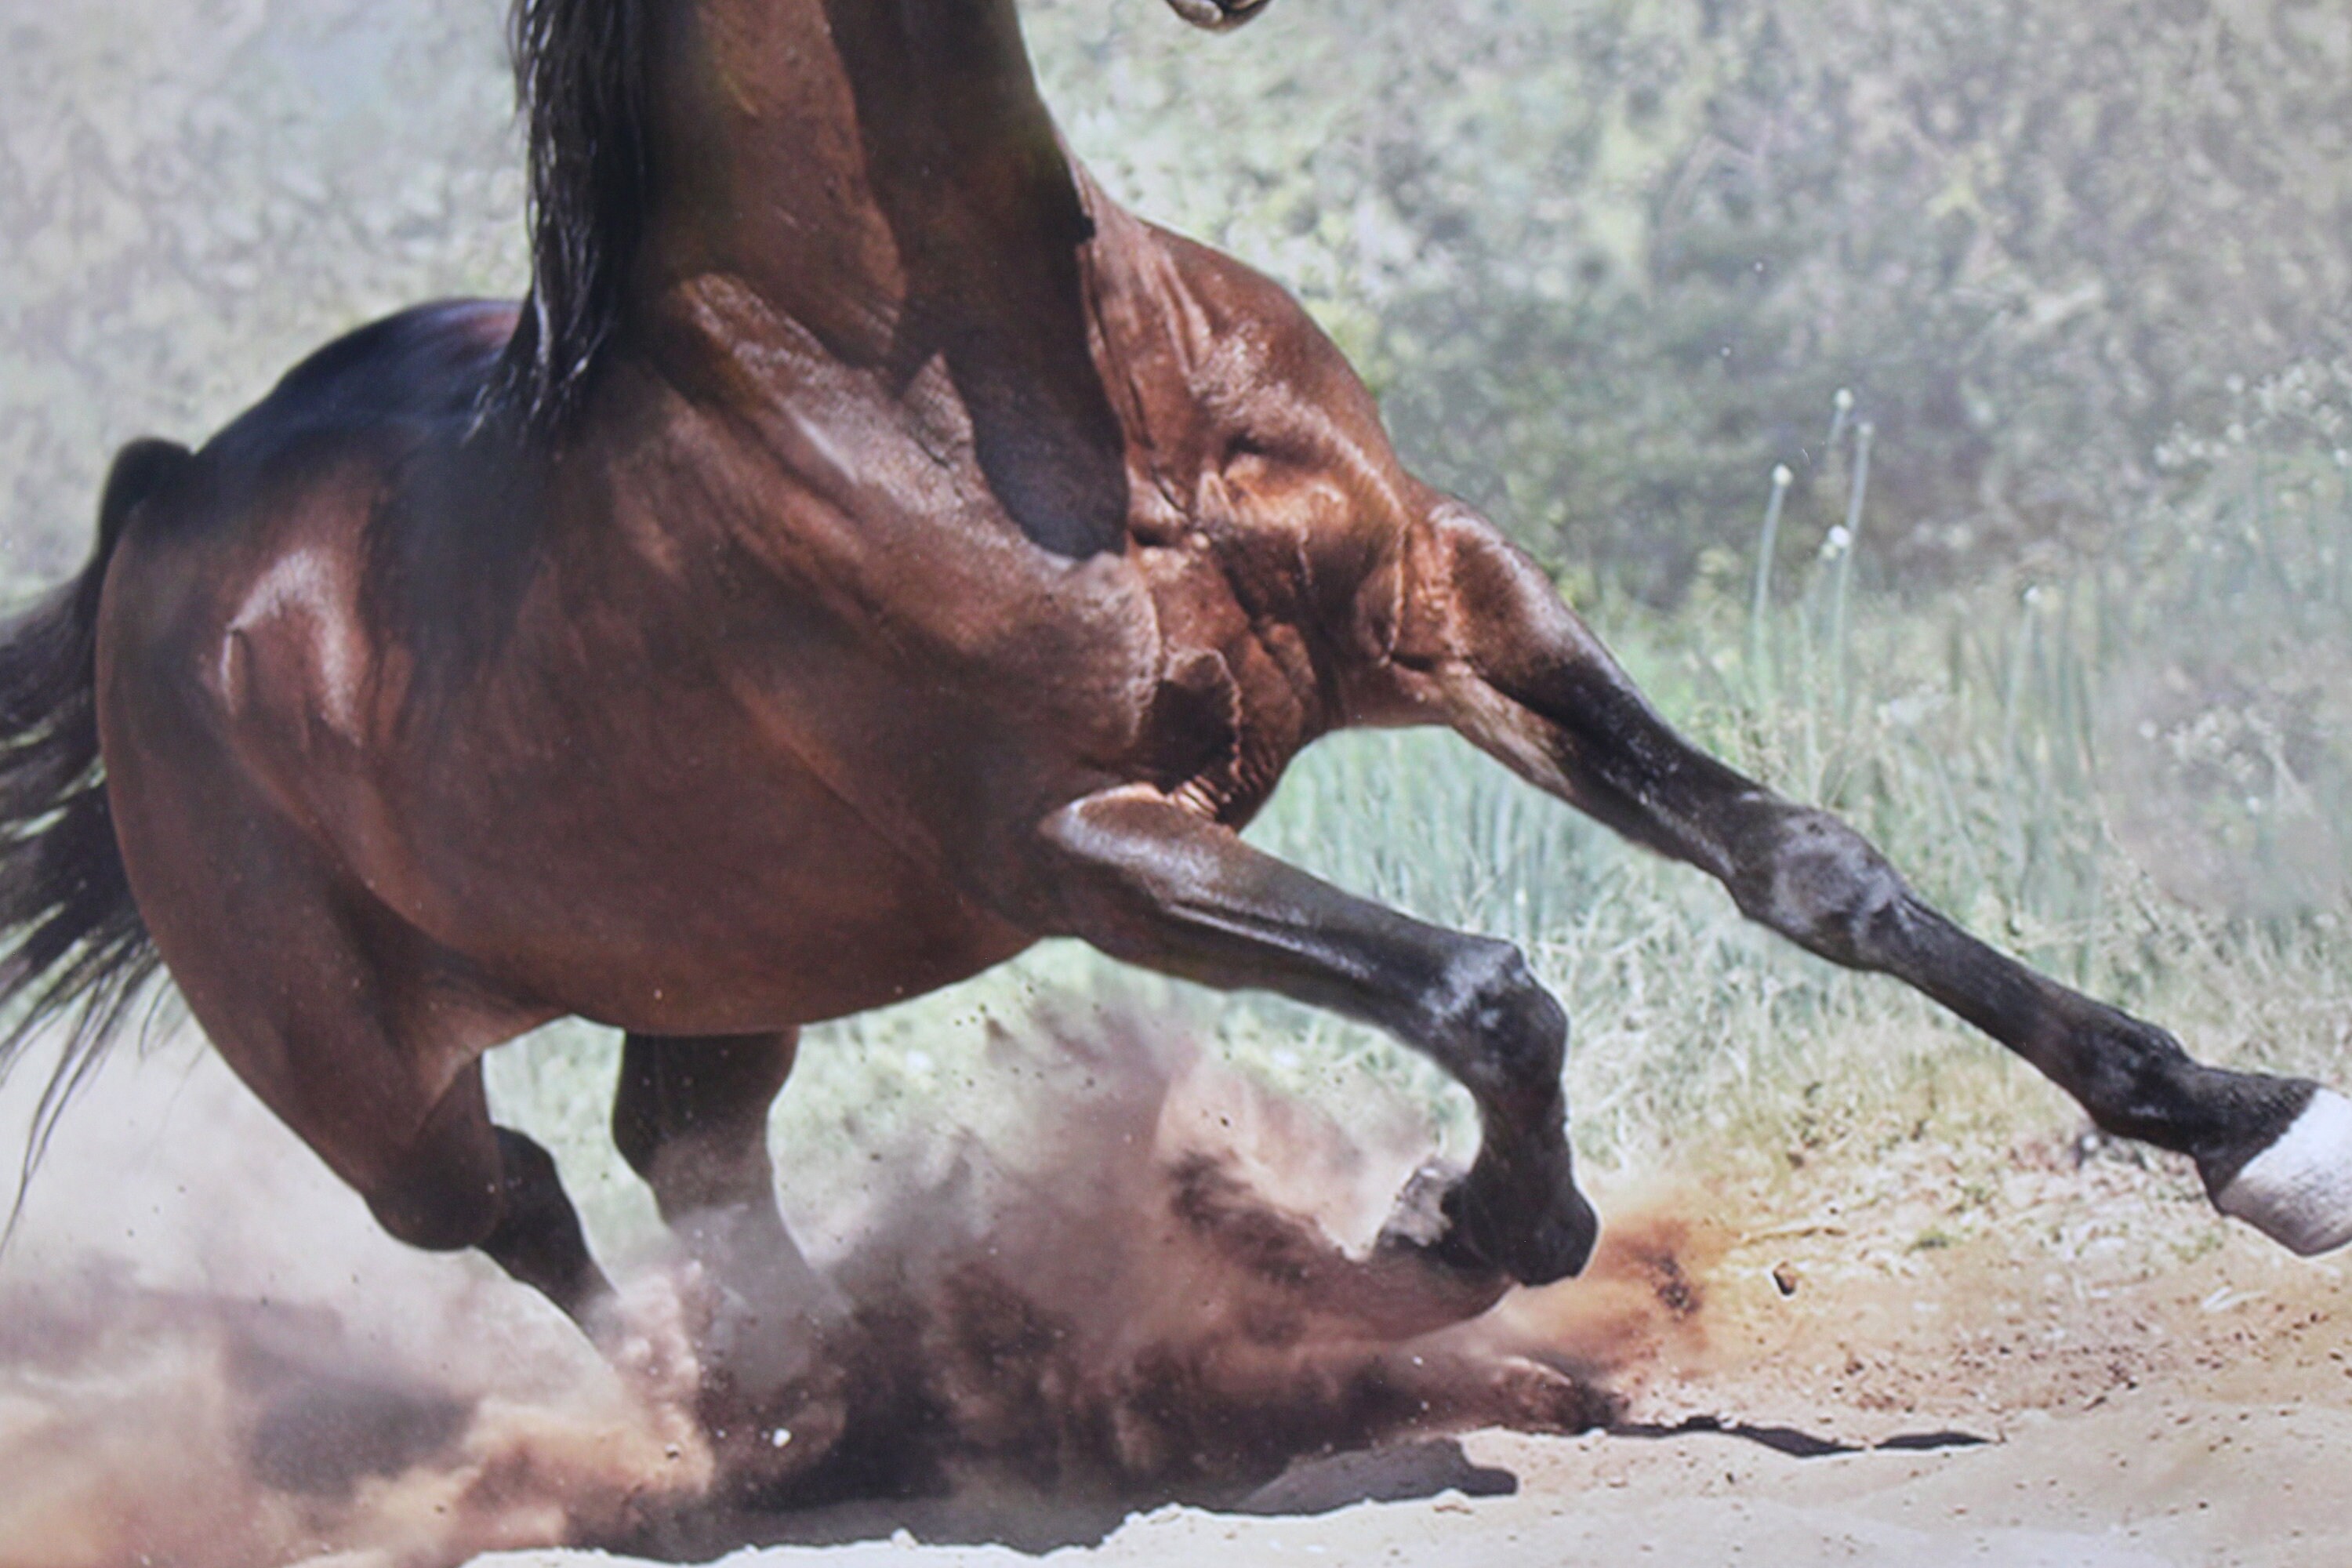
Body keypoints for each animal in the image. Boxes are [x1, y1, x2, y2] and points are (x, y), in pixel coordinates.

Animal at [4, 0, 2348, 1458]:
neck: (1003, 365)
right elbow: (1485, 989)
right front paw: (1452, 1233)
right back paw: (764, 1419)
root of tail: (167, 522)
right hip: (364, 1081)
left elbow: (1807, 867)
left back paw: (857, 1394)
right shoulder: (1079, 841)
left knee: (679, 1145)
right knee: (515, 1202)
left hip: (731, 959)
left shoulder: (1446, 598)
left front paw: (2247, 1125)